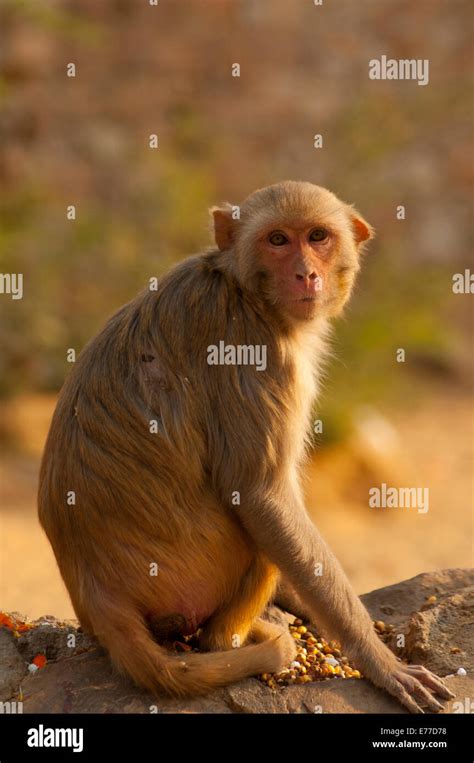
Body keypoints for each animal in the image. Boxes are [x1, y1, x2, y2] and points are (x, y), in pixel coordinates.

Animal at [38, 181, 454, 712]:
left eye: (318, 237)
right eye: (277, 240)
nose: (306, 273)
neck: (244, 289)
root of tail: (97, 596)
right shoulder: (257, 350)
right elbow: (259, 494)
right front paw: (379, 661)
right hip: (196, 571)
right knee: (254, 531)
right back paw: (237, 638)